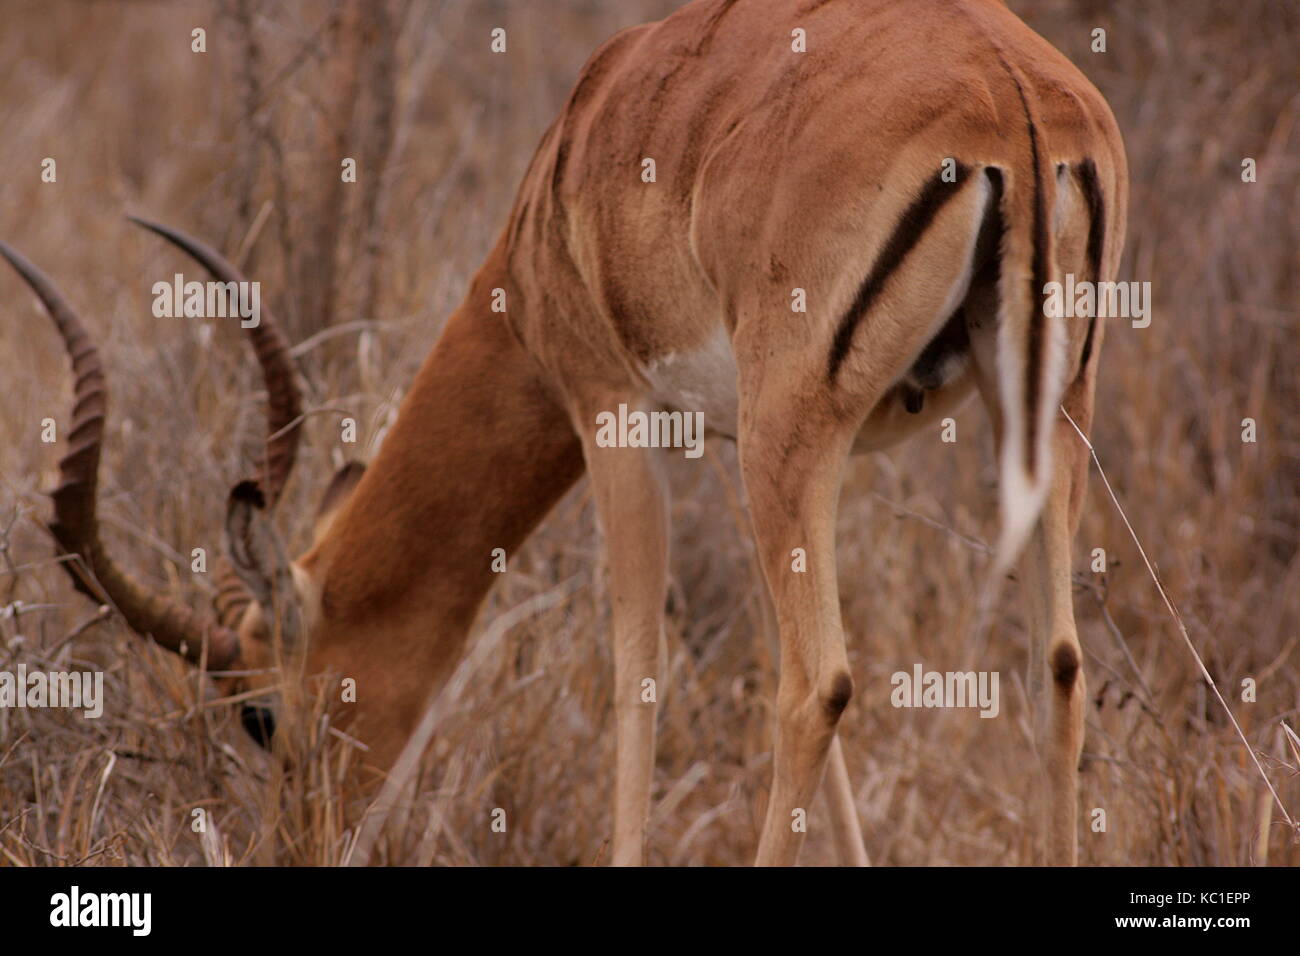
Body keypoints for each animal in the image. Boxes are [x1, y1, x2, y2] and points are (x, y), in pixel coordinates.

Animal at [6, 0, 1126, 866]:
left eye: (259, 712)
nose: (300, 843)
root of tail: (1009, 97)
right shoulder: (744, 444)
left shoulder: (609, 411)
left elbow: (638, 668)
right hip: (1040, 413)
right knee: (1056, 665)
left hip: (796, 433)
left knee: (818, 686)